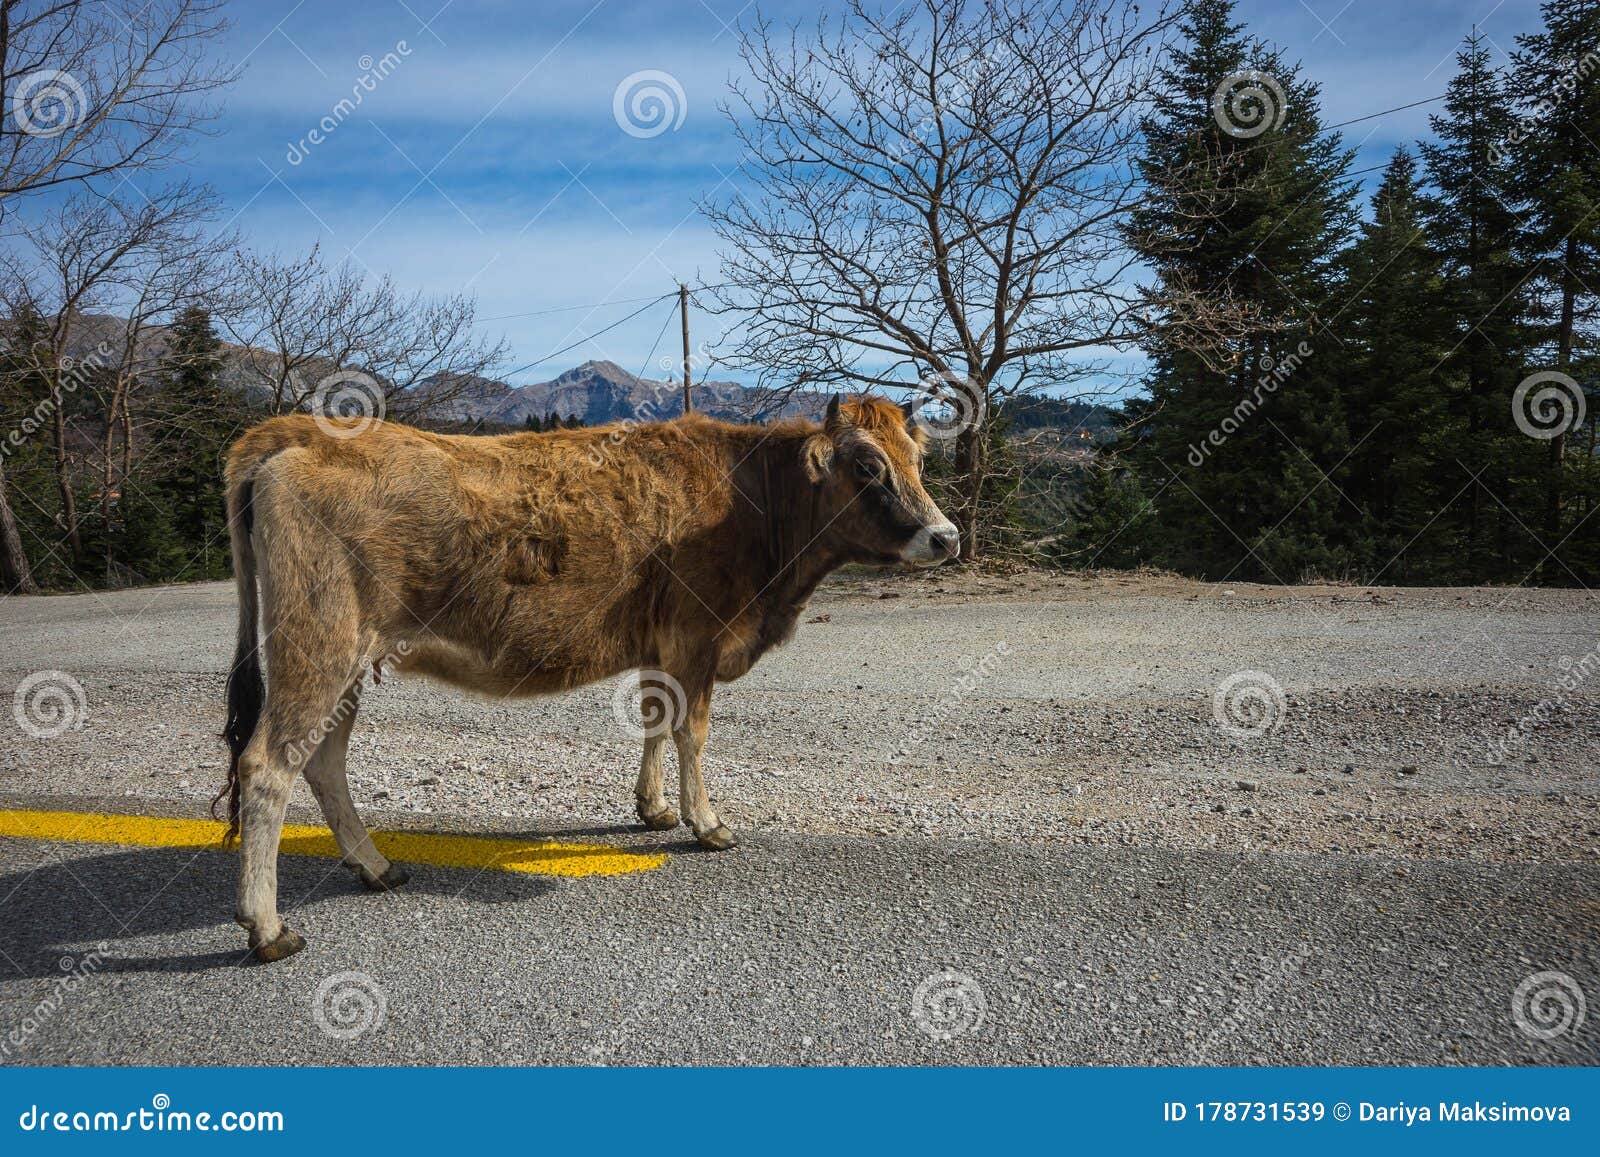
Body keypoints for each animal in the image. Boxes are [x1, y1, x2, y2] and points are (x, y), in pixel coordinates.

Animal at [218, 396, 958, 960]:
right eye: (867, 465)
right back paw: (268, 927)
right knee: (269, 765)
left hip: (343, 661)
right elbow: (693, 733)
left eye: (918, 461)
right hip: (318, 648)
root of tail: (291, 430)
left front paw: (654, 808)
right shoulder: (697, 636)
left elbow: (657, 719)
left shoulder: (663, 643)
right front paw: (707, 822)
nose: (946, 537)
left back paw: (373, 866)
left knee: (324, 762)